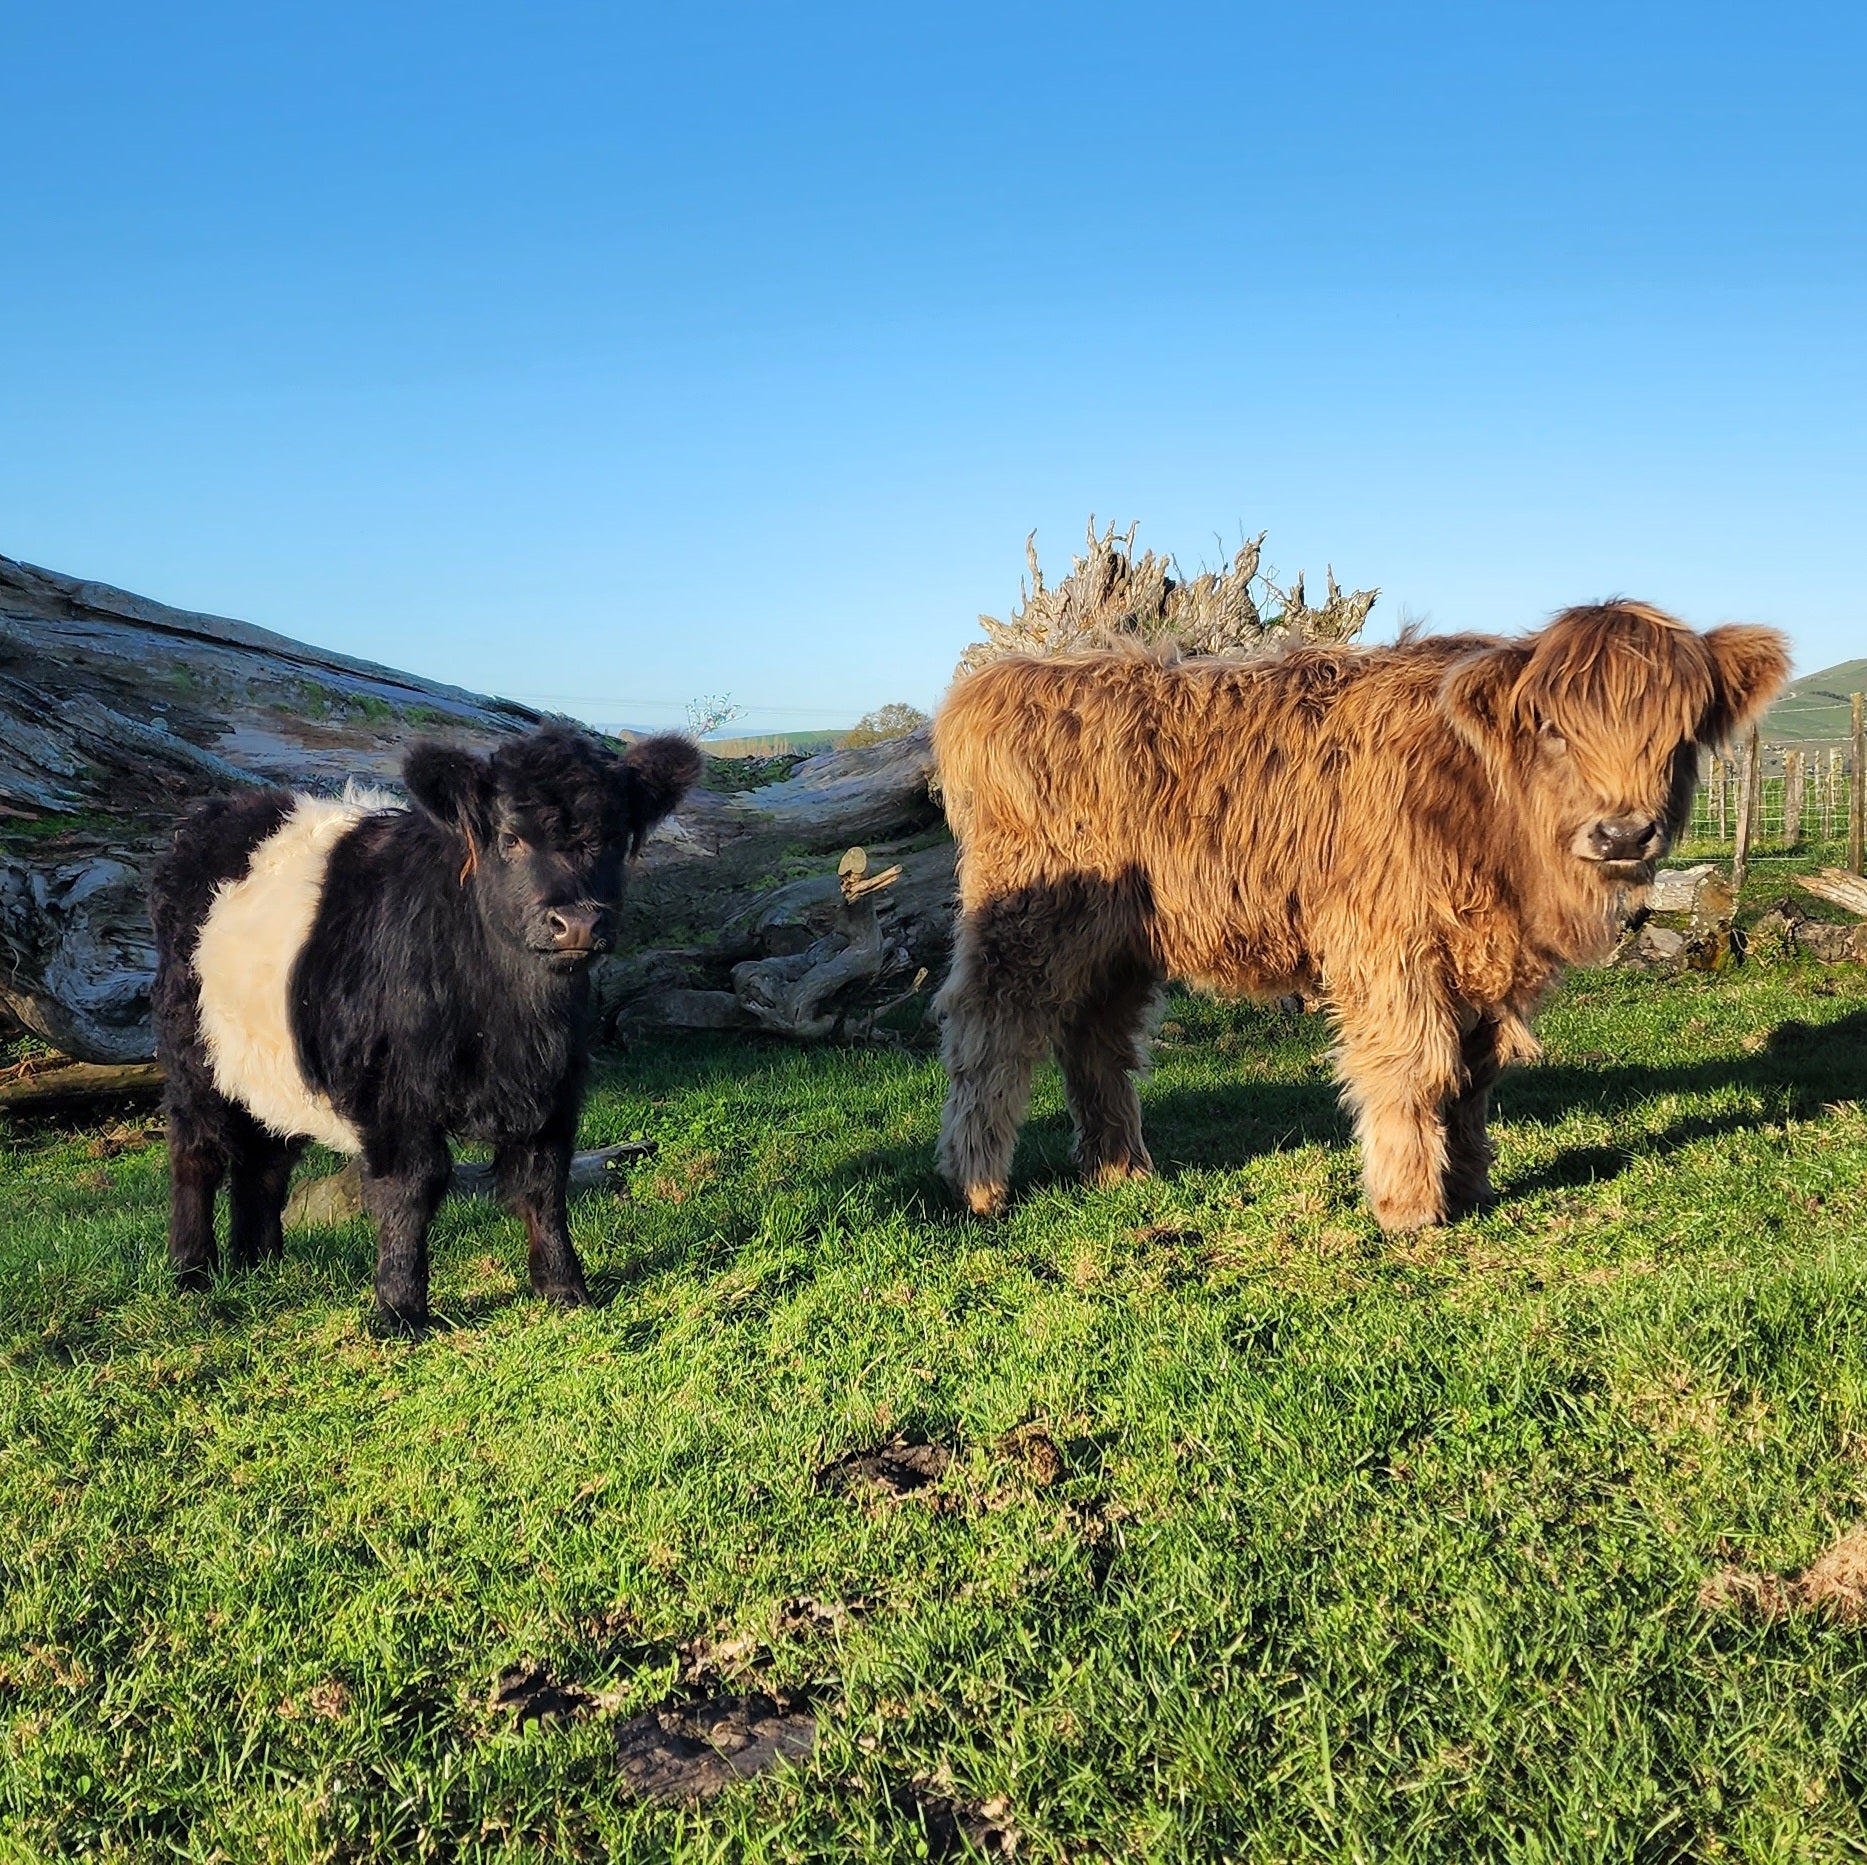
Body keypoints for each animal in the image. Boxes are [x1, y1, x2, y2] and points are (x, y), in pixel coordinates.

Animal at [150, 722, 700, 1324]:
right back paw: (191, 1270)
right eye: (510, 838)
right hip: (193, 1048)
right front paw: (399, 1308)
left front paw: (564, 1290)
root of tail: (227, 811)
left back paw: (260, 1262)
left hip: (275, 1058)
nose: (576, 922)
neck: (509, 1020)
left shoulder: (555, 1081)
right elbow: (410, 1186)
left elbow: (543, 1181)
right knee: (197, 1151)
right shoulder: (394, 1091)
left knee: (266, 1153)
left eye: (613, 836)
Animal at [932, 602, 1789, 1233]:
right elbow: (1414, 1064)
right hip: (1024, 926)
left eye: (1679, 734)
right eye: (1551, 728)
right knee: (990, 1034)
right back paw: (975, 1185)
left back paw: (1119, 1171)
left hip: (1120, 944)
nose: (1621, 833)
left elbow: (1473, 1073)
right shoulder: (1389, 944)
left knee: (1097, 1041)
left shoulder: (1483, 958)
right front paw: (1407, 1208)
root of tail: (1008, 680)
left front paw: (1469, 1184)